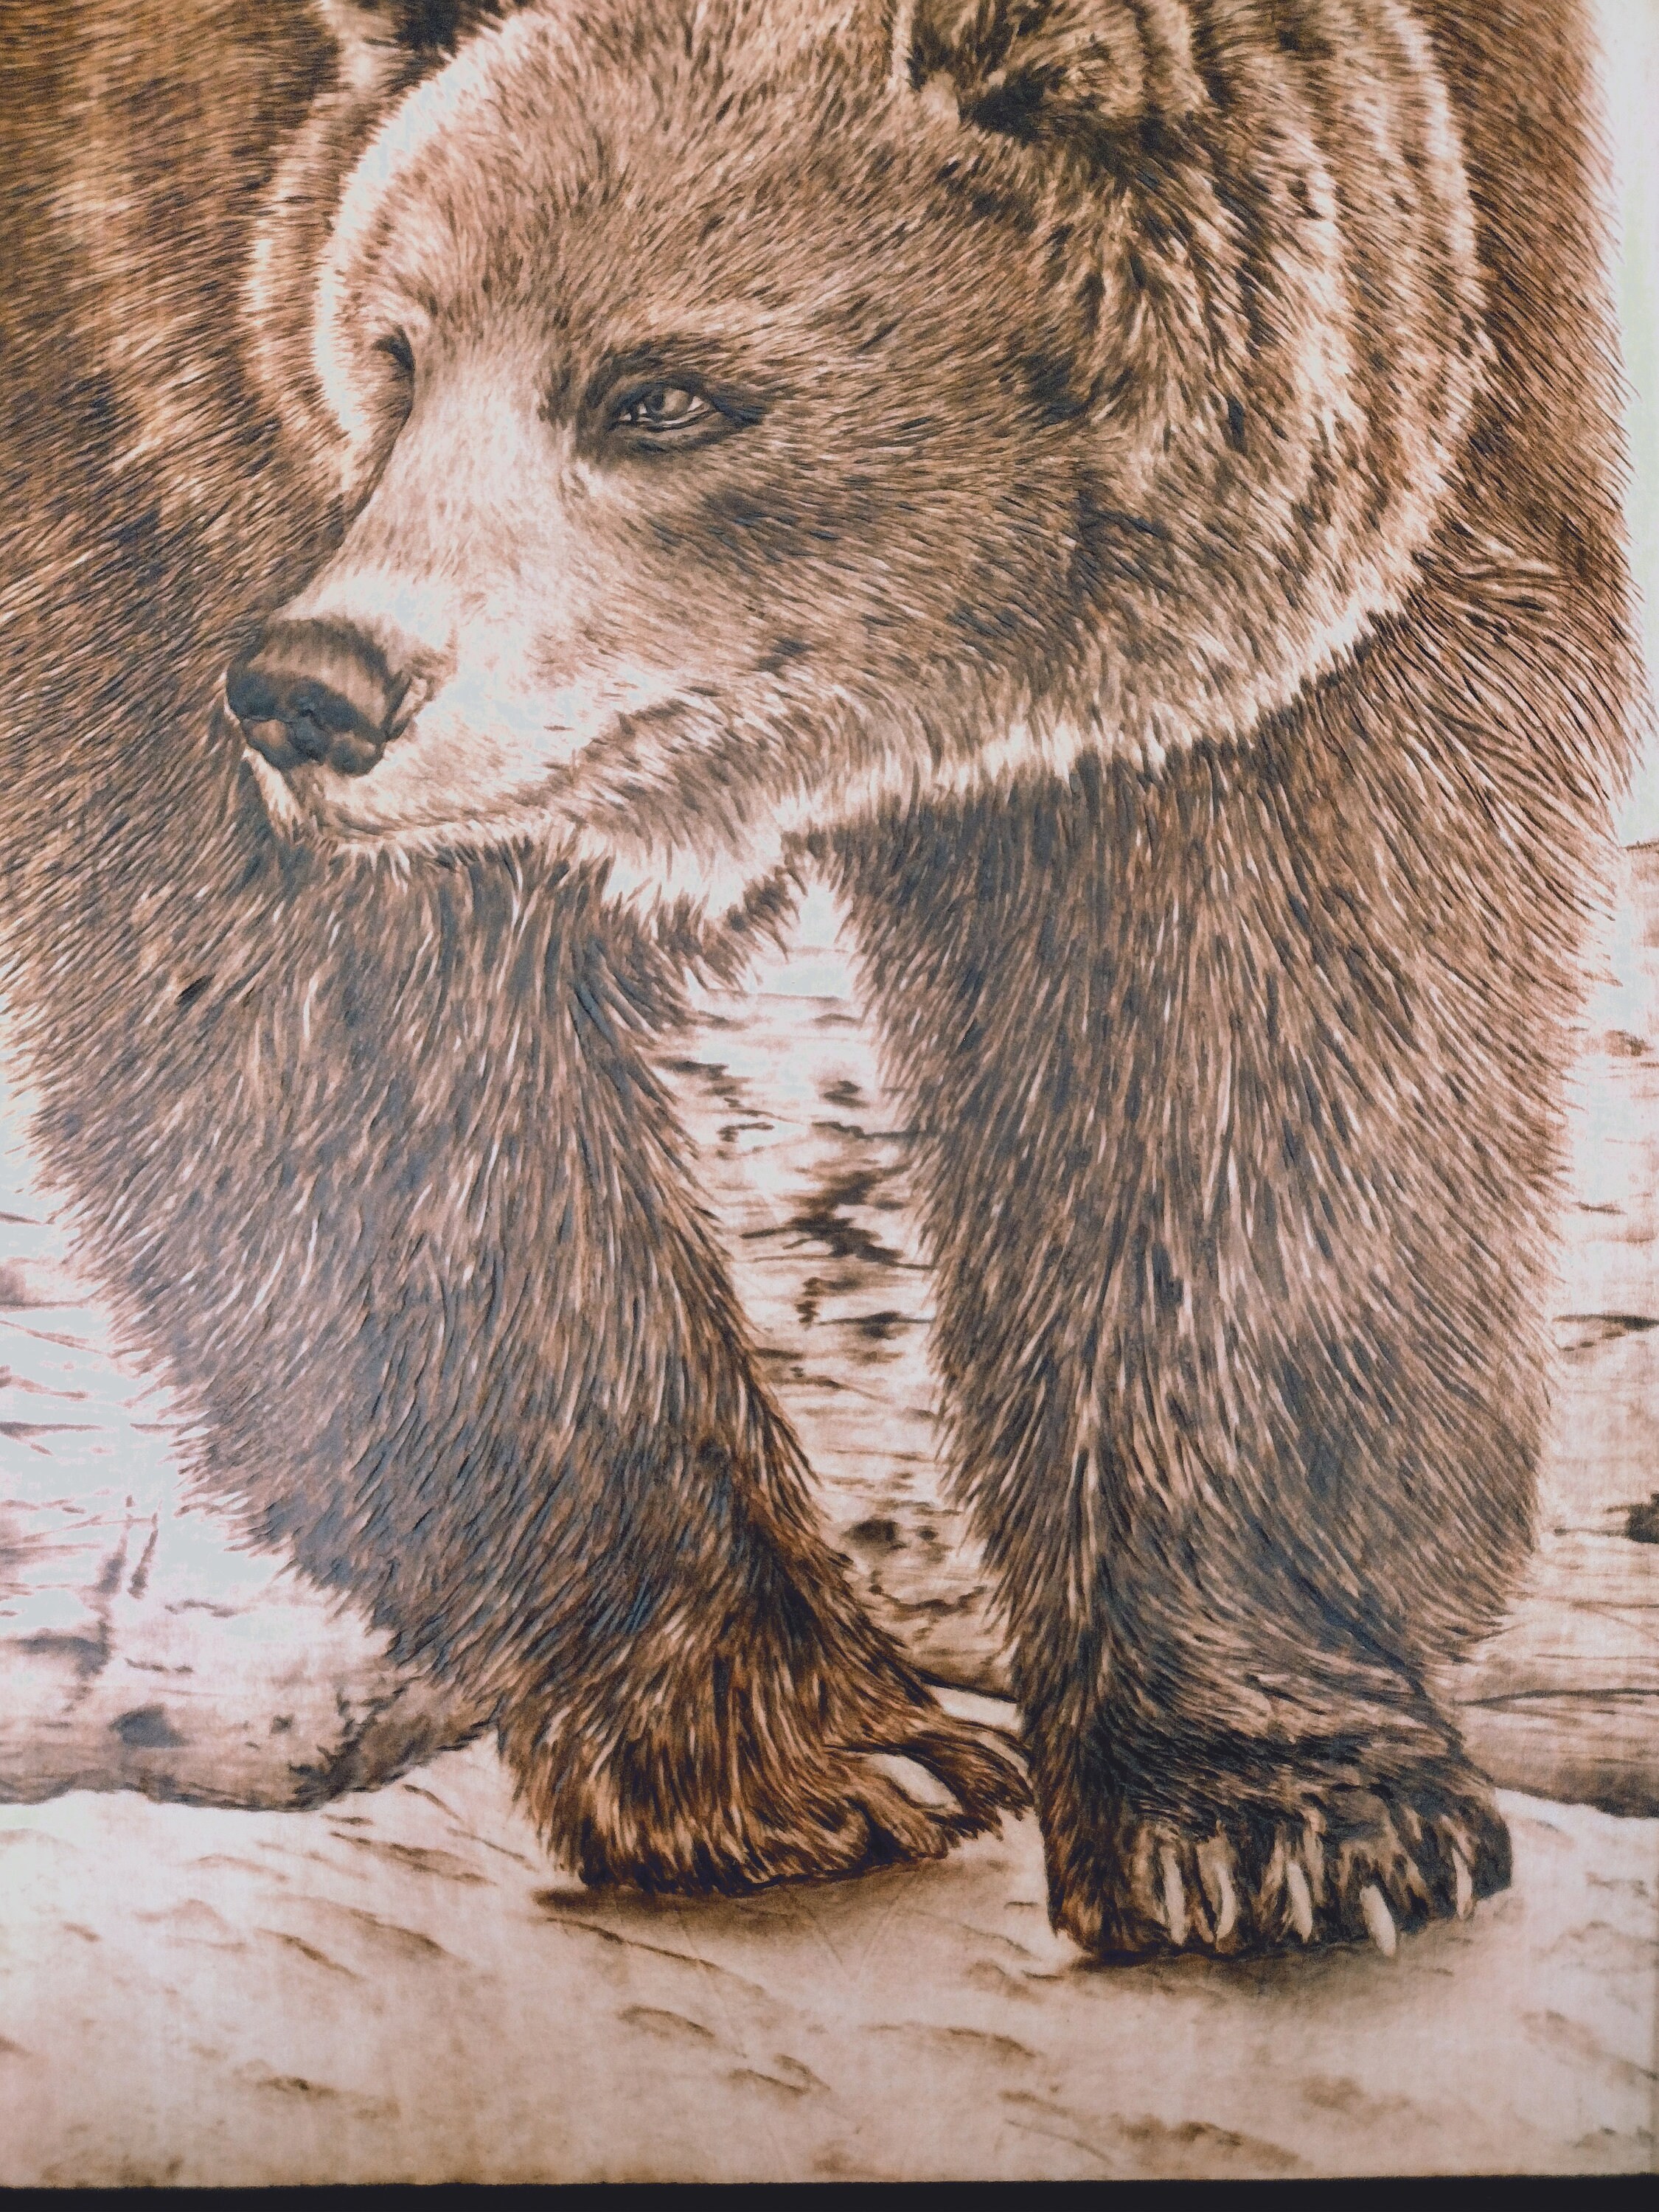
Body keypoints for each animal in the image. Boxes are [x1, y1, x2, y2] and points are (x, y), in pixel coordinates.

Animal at [0, 0, 1644, 1960]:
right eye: (391, 356)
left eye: (658, 394)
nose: (316, 692)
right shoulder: (160, 305)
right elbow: (345, 1033)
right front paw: (800, 1752)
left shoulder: (1446, 297)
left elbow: (1266, 976)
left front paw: (1279, 1812)